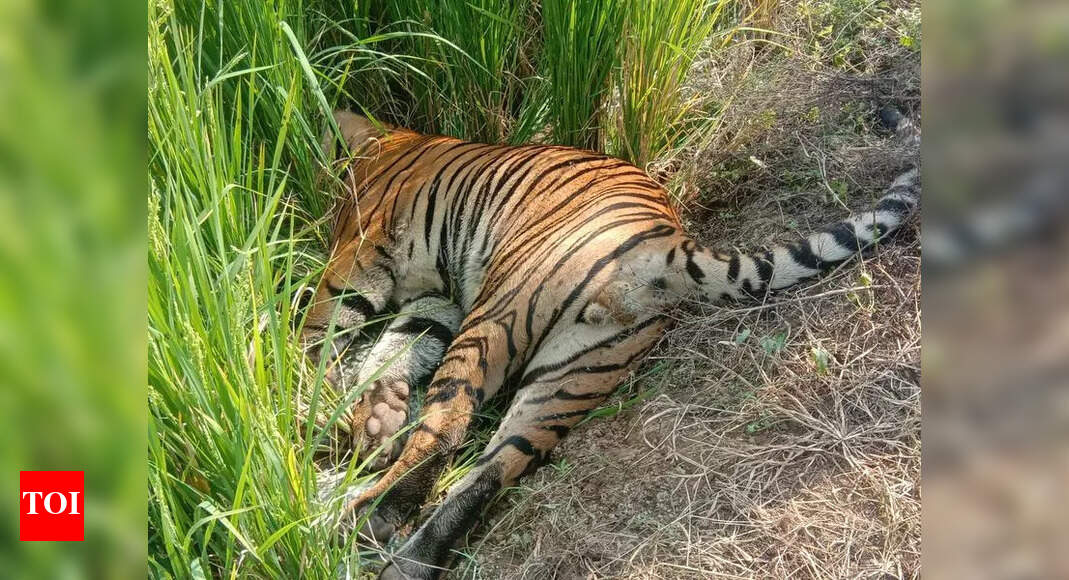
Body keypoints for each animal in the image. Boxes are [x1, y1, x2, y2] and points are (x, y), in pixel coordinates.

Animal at [301, 110, 920, 579]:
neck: (381, 142)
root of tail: (668, 243)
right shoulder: (438, 299)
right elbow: (397, 347)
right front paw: (376, 414)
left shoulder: (359, 256)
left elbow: (322, 326)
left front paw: (311, 405)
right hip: (568, 375)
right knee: (493, 470)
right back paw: (405, 560)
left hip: (502, 306)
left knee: (449, 427)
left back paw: (361, 516)